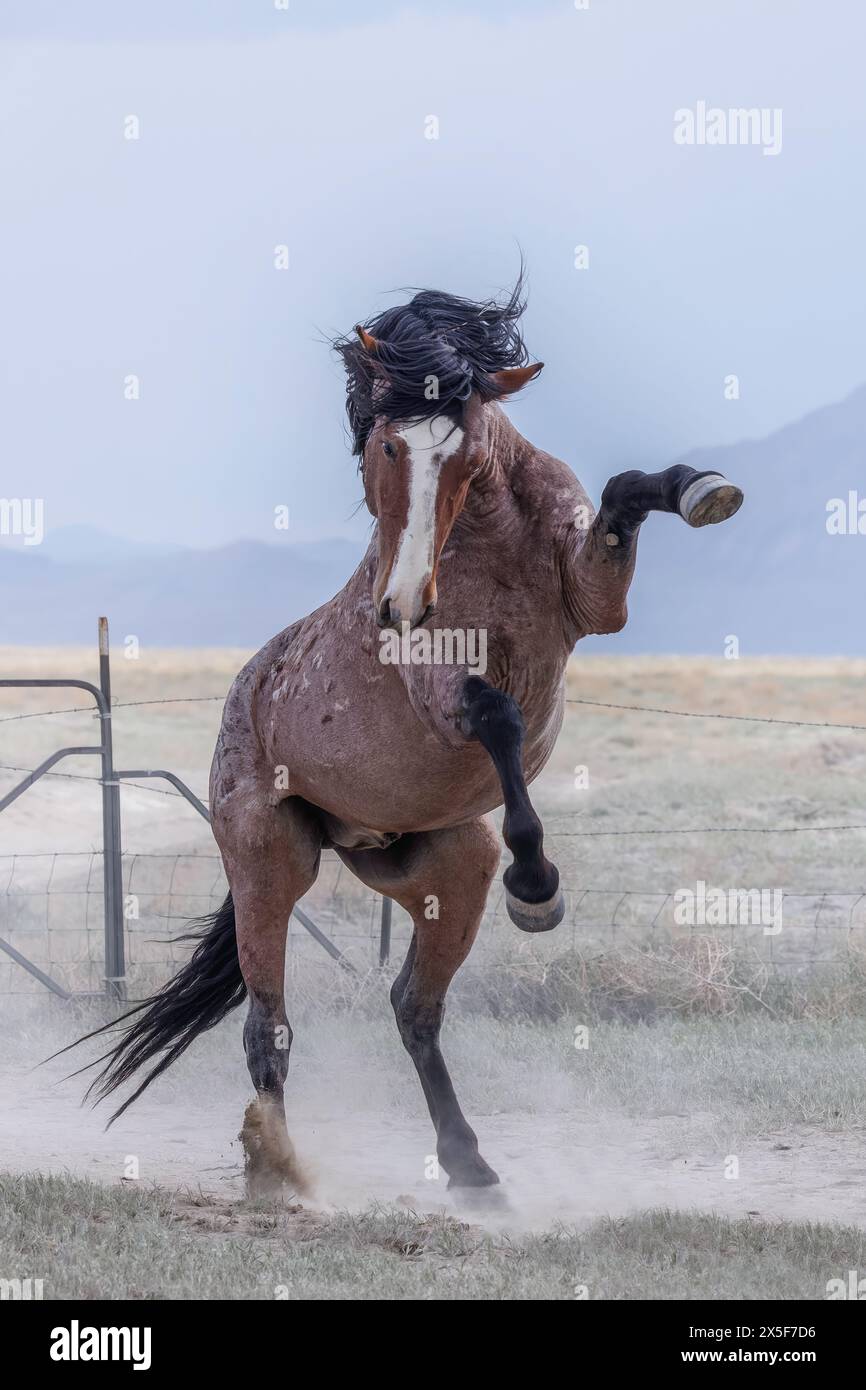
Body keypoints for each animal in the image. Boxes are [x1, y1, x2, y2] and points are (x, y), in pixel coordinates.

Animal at [69, 279, 743, 1197]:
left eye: (464, 450)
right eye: (386, 444)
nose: (400, 602)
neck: (497, 534)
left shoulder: (597, 597)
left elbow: (625, 492)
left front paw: (702, 487)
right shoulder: (438, 680)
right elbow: (496, 714)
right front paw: (540, 885)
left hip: (446, 868)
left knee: (413, 1009)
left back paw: (470, 1166)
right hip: (268, 864)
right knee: (268, 1027)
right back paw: (277, 1167)